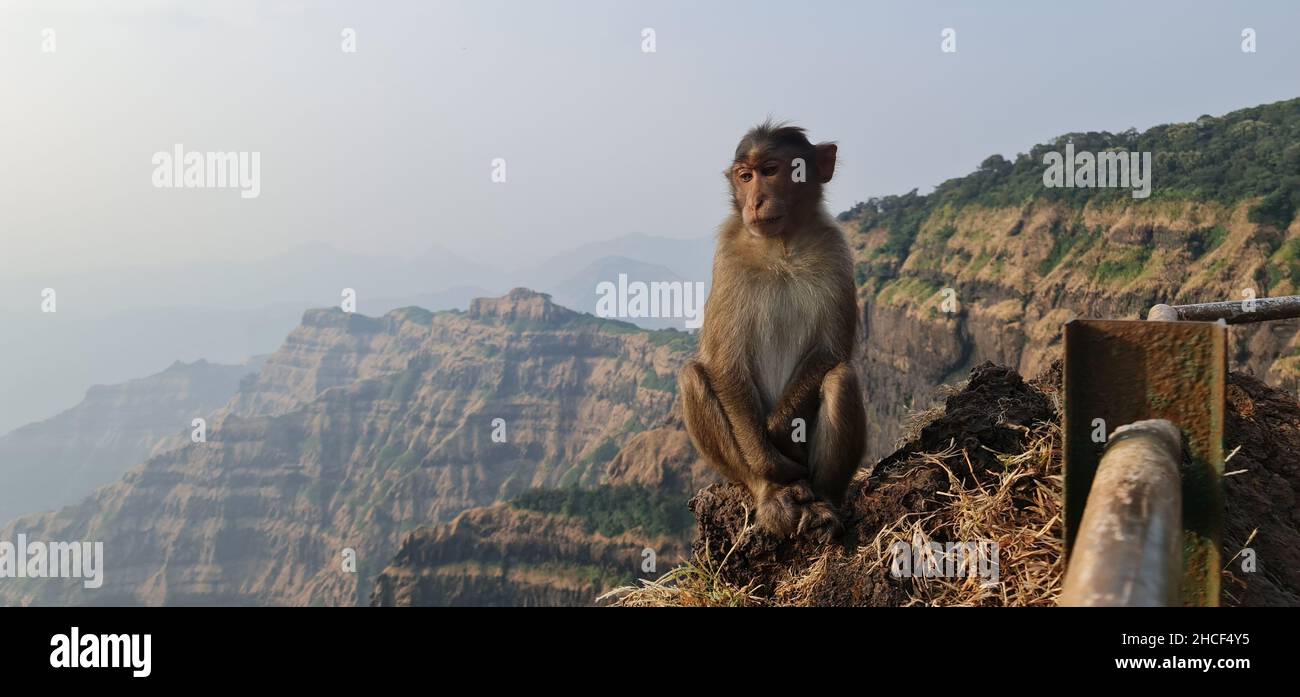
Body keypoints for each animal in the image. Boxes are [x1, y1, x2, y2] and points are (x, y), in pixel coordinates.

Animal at [679, 121, 866, 542]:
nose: (755, 201)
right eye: (745, 176)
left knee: (841, 378)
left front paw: (782, 432)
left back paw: (823, 504)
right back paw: (773, 494)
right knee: (692, 376)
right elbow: (725, 363)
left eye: (770, 170)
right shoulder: (728, 256)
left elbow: (831, 351)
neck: (782, 247)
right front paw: (772, 462)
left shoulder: (835, 248)